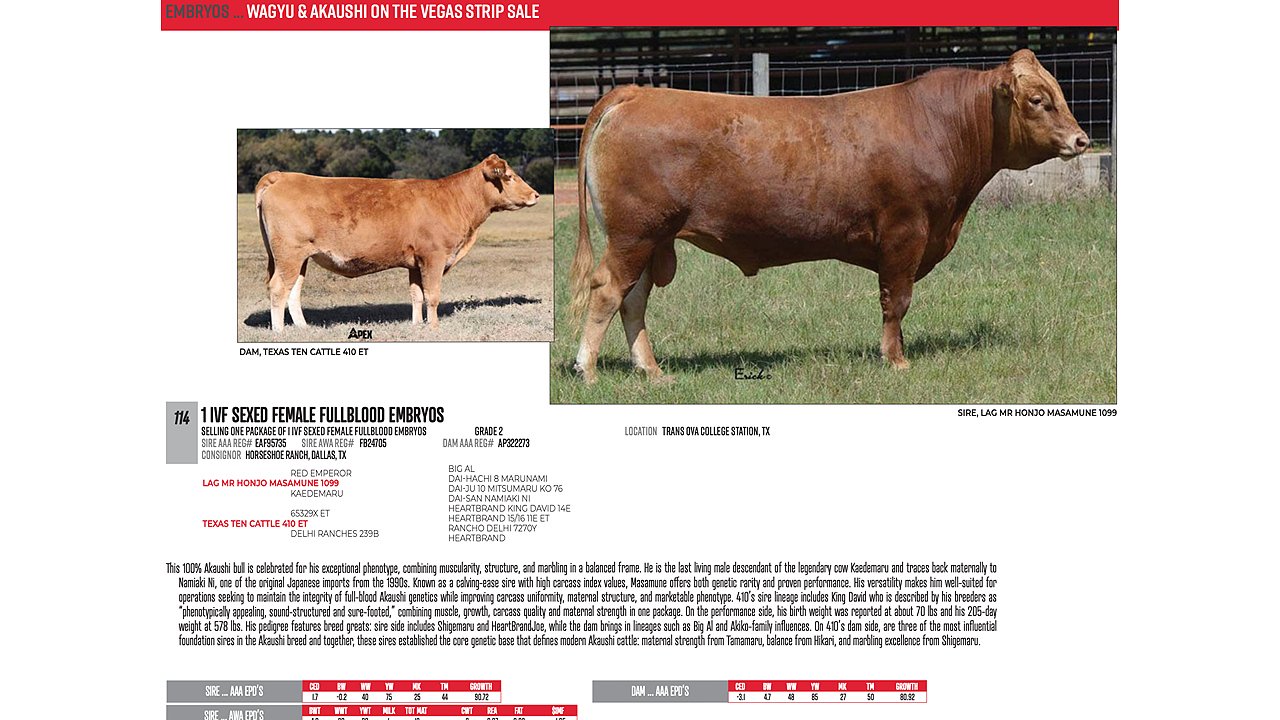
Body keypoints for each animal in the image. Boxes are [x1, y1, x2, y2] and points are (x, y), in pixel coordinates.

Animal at [255, 154, 539, 332]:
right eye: (510, 176)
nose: (536, 194)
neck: (453, 200)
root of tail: (282, 176)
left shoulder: (415, 262)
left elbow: (417, 295)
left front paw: (417, 324)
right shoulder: (434, 257)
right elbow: (432, 295)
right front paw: (434, 327)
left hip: (299, 258)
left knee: (293, 291)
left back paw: (303, 328)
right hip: (289, 254)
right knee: (279, 288)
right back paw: (279, 332)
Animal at [568, 49, 1090, 383]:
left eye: (1059, 94)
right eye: (1038, 101)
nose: (1081, 139)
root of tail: (637, 92)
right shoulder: (905, 233)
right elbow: (896, 301)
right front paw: (895, 361)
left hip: (649, 239)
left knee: (633, 301)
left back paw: (652, 372)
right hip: (635, 233)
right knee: (608, 292)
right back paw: (587, 370)